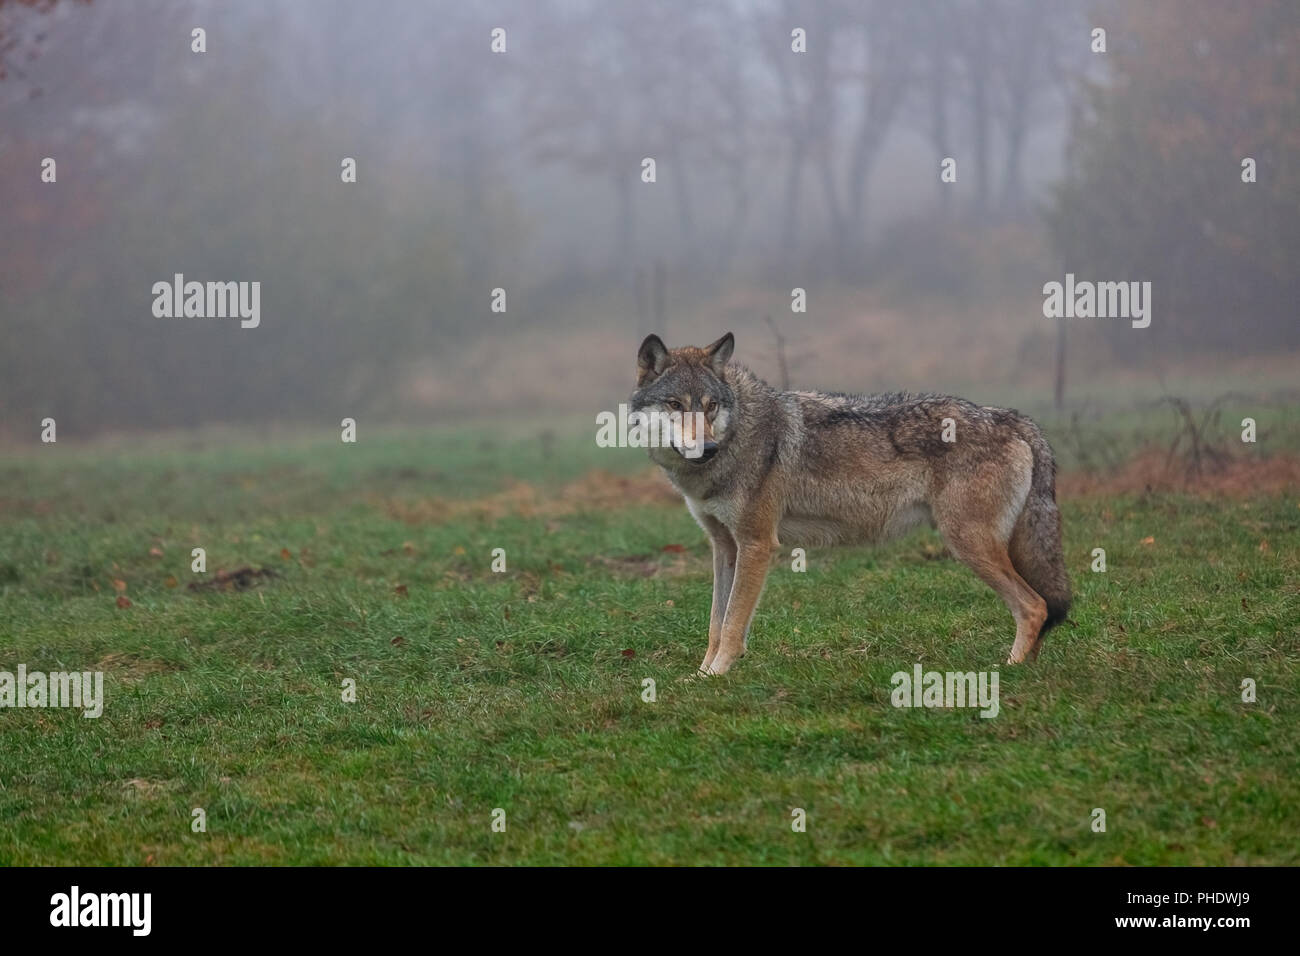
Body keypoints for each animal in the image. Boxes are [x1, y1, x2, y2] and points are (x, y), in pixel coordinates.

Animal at [630, 332, 1071, 676]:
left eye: (710, 406)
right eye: (675, 405)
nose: (707, 448)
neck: (740, 436)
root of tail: (1011, 417)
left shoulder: (756, 545)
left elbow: (734, 625)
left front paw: (718, 675)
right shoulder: (724, 547)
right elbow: (715, 624)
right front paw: (701, 676)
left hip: (968, 544)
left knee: (1034, 606)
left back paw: (1011, 671)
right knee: (1041, 608)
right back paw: (1028, 668)